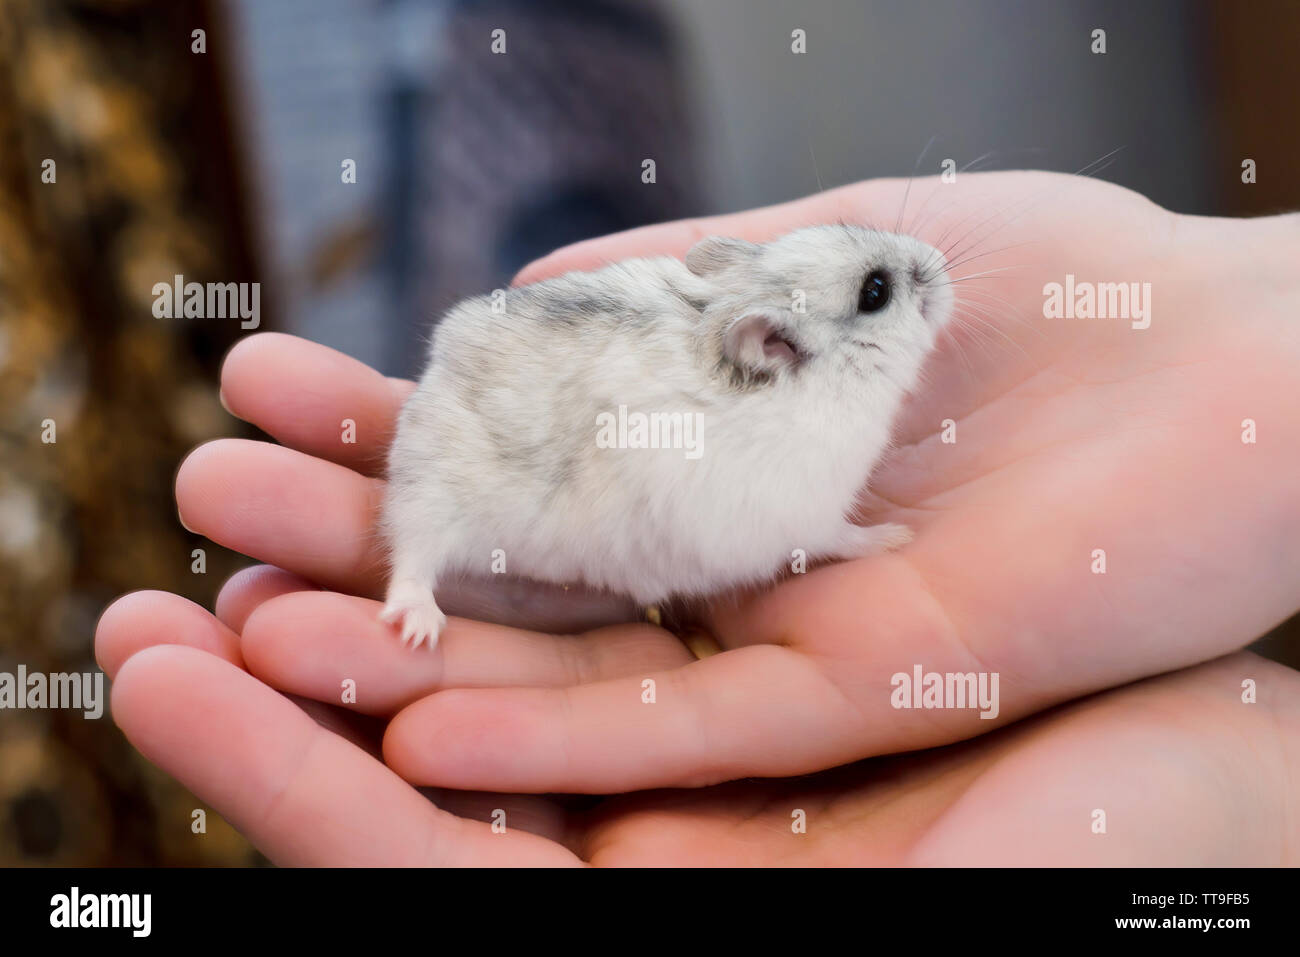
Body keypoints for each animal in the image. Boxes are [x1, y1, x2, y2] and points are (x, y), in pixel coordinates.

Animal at [380, 225, 953, 649]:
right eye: (875, 292)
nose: (942, 261)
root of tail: (438, 372)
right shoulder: (803, 511)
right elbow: (841, 537)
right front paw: (895, 537)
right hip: (432, 492)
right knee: (411, 557)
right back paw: (418, 629)